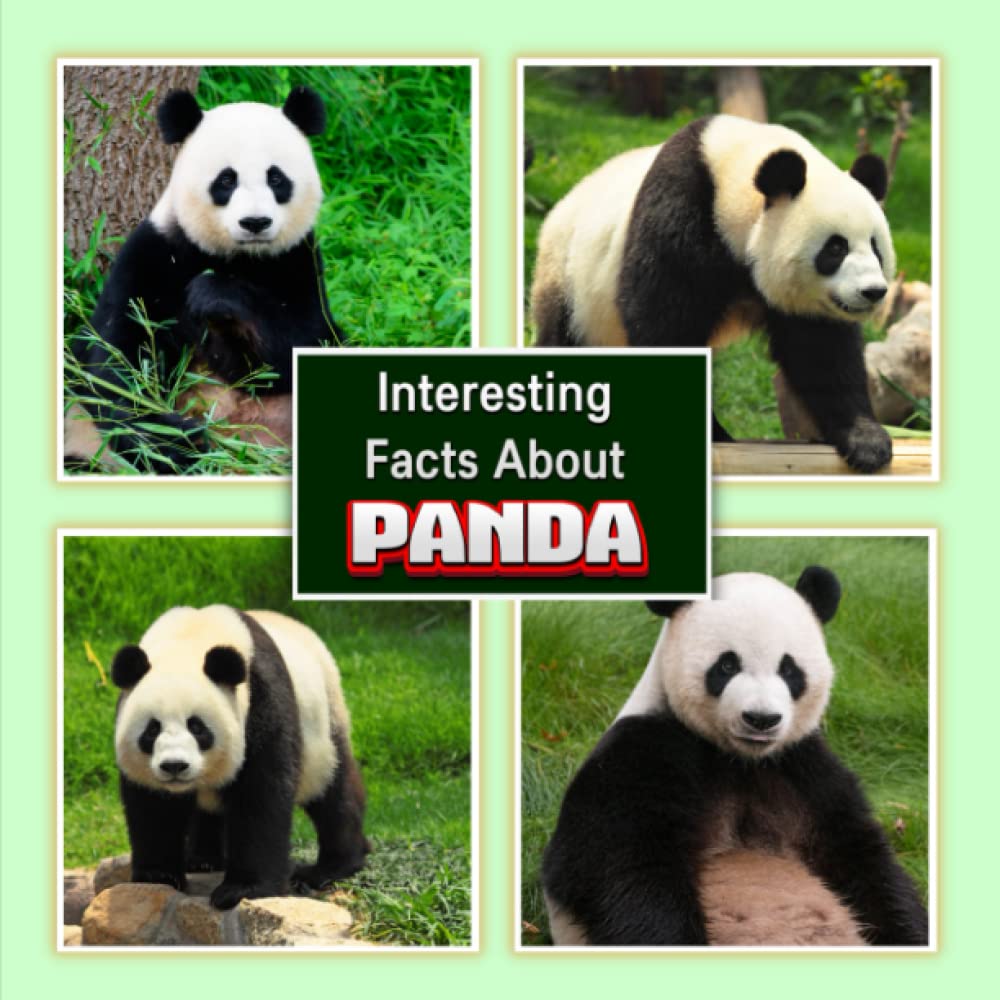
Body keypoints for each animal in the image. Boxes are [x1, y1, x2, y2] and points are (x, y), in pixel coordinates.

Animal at [74, 86, 344, 472]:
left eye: (276, 178)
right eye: (226, 180)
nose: (255, 223)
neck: (236, 256)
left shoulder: (298, 260)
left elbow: (304, 338)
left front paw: (214, 295)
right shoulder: (155, 253)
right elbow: (118, 357)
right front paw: (175, 440)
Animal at [111, 605, 369, 910]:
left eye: (197, 727)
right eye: (152, 729)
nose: (174, 766)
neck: (190, 638)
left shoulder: (262, 701)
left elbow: (260, 795)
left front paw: (242, 889)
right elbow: (154, 806)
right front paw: (158, 875)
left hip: (324, 726)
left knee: (333, 794)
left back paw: (331, 867)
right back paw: (203, 859)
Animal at [530, 115, 896, 473]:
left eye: (875, 246)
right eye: (835, 248)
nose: (873, 292)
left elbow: (820, 349)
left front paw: (865, 440)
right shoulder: (679, 211)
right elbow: (664, 320)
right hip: (569, 279)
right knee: (562, 336)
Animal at [541, 567, 929, 946]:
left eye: (789, 669)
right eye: (727, 665)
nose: (761, 719)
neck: (740, 759)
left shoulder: (804, 769)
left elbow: (861, 858)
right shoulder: (641, 753)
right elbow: (622, 865)